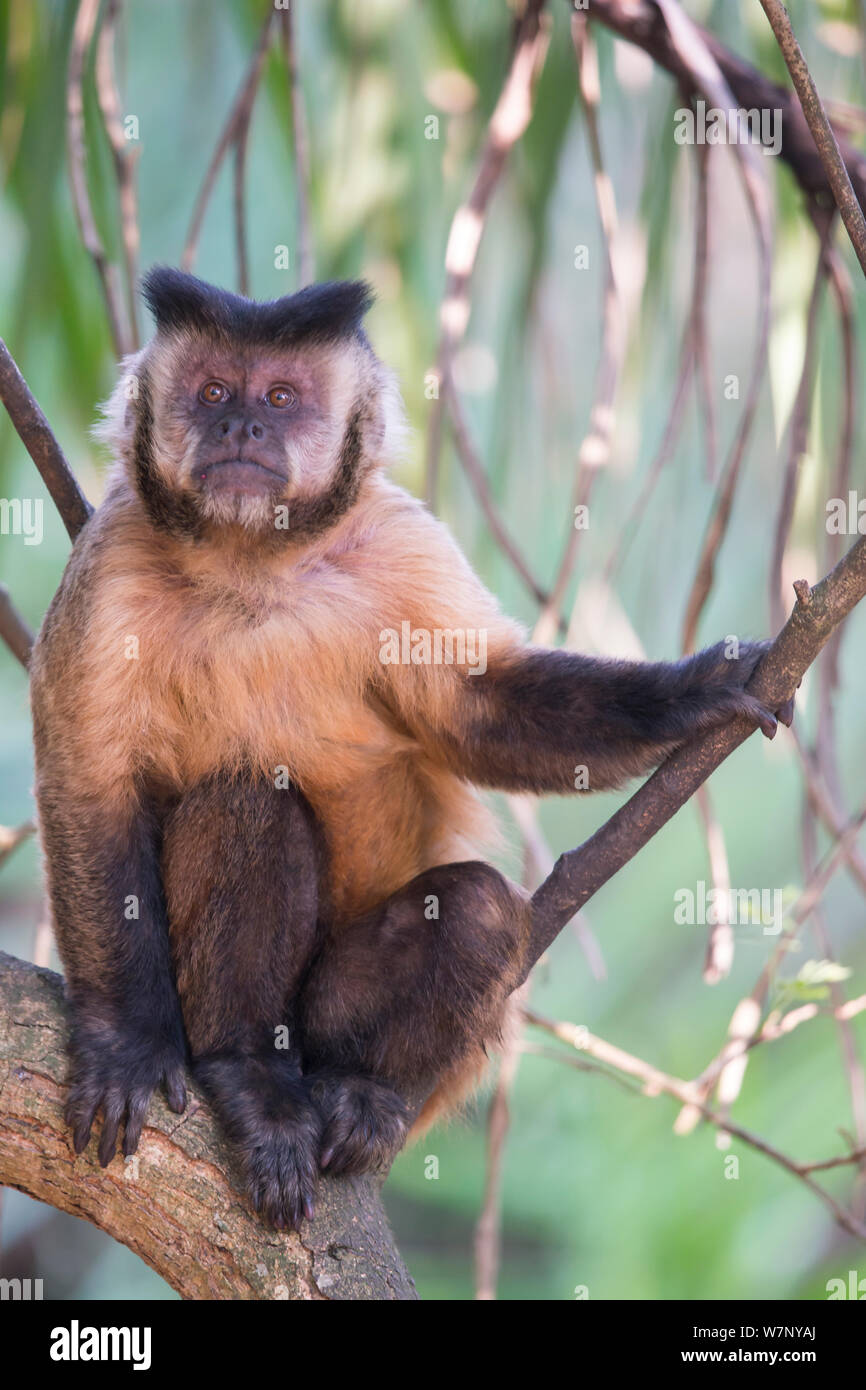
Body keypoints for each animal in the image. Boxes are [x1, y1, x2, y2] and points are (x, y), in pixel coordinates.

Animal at [28, 268, 794, 1230]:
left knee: (476, 909)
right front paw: (127, 1044)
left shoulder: (402, 543)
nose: (240, 427)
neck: (252, 563)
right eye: (212, 392)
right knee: (249, 800)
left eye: (279, 398)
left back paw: (359, 1091)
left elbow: (480, 711)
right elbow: (87, 793)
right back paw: (248, 1070)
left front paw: (698, 690)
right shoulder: (110, 566)